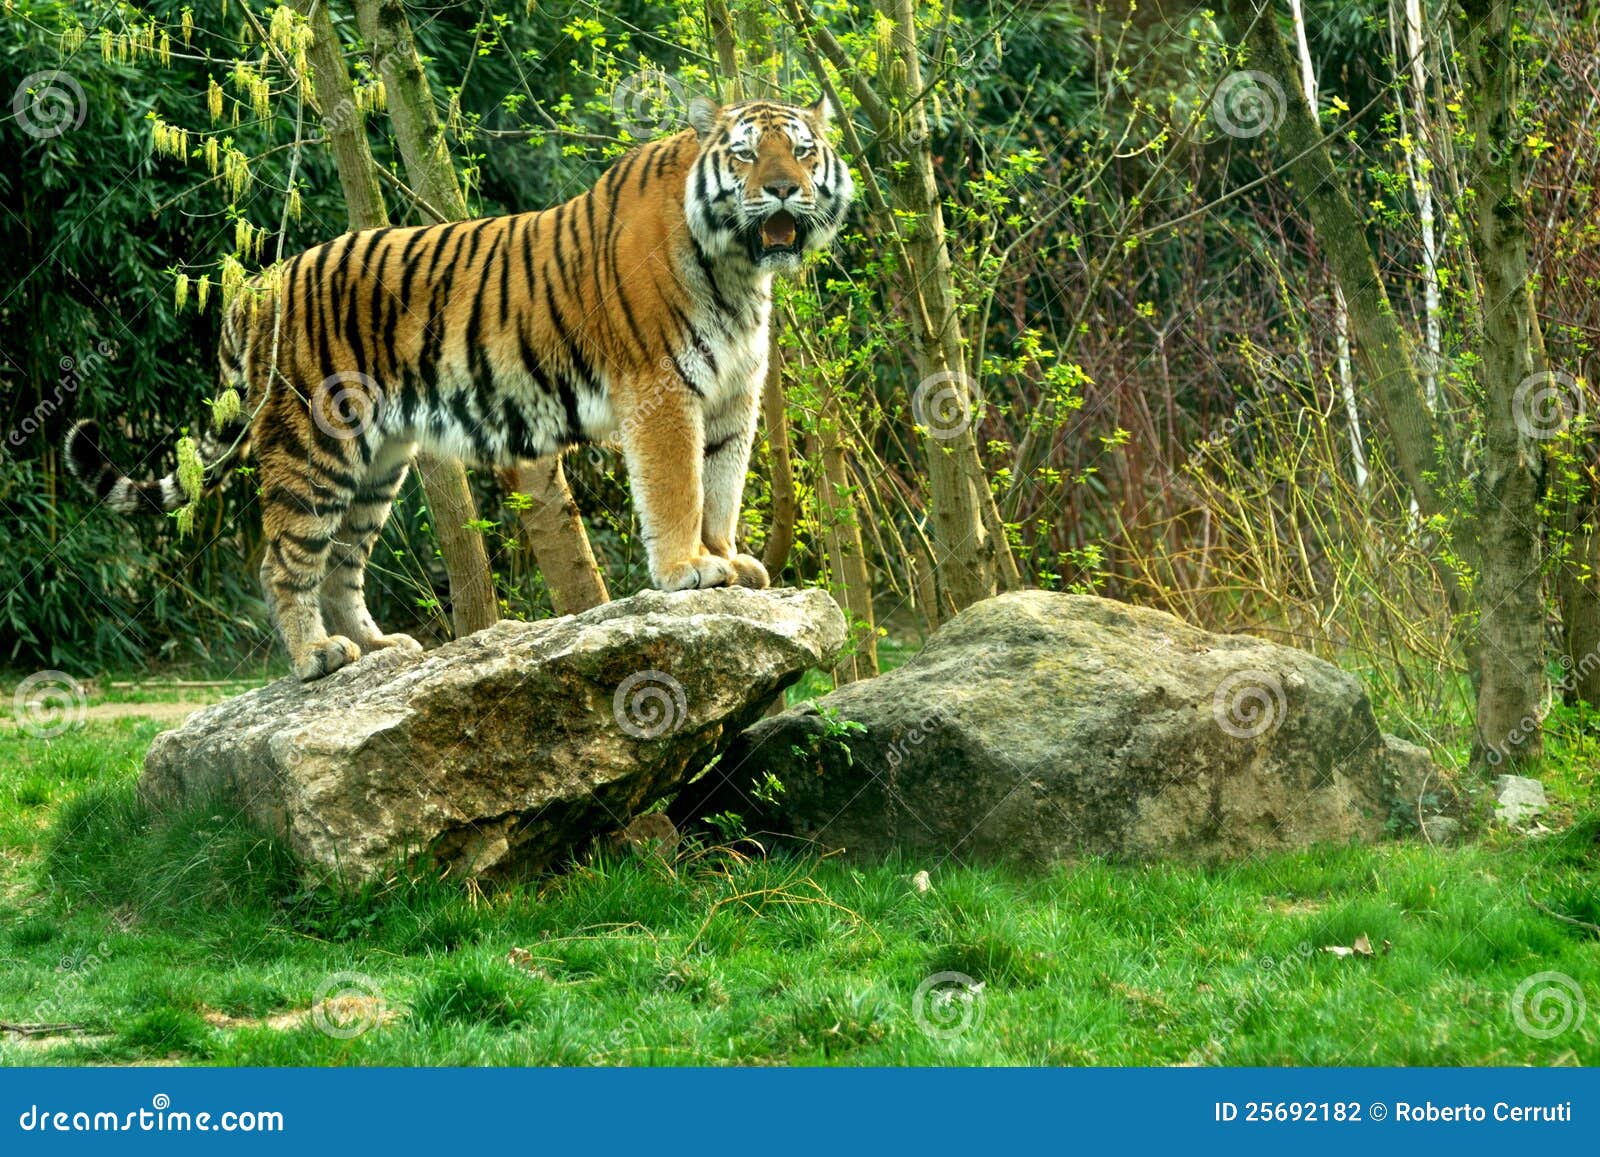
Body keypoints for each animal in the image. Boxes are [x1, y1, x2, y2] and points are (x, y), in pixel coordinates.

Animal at [66, 97, 854, 681]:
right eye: (746, 154)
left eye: (803, 151)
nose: (783, 189)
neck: (737, 269)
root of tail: (258, 288)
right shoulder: (663, 390)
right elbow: (677, 488)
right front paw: (689, 570)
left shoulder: (732, 399)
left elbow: (721, 486)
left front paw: (730, 561)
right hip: (310, 443)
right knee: (285, 559)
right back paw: (316, 657)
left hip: (377, 461)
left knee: (342, 563)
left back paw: (380, 648)